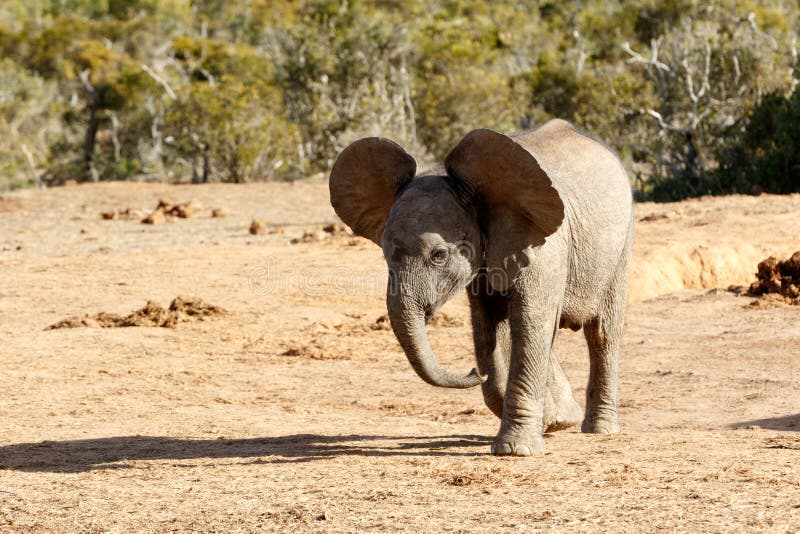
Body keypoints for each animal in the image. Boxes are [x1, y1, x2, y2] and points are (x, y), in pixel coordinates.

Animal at [329, 119, 634, 456]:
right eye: (384, 253)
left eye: (439, 255)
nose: (473, 372)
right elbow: (487, 328)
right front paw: (548, 422)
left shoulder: (545, 248)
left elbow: (530, 322)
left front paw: (515, 450)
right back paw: (562, 419)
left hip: (621, 245)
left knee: (602, 333)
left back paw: (600, 429)